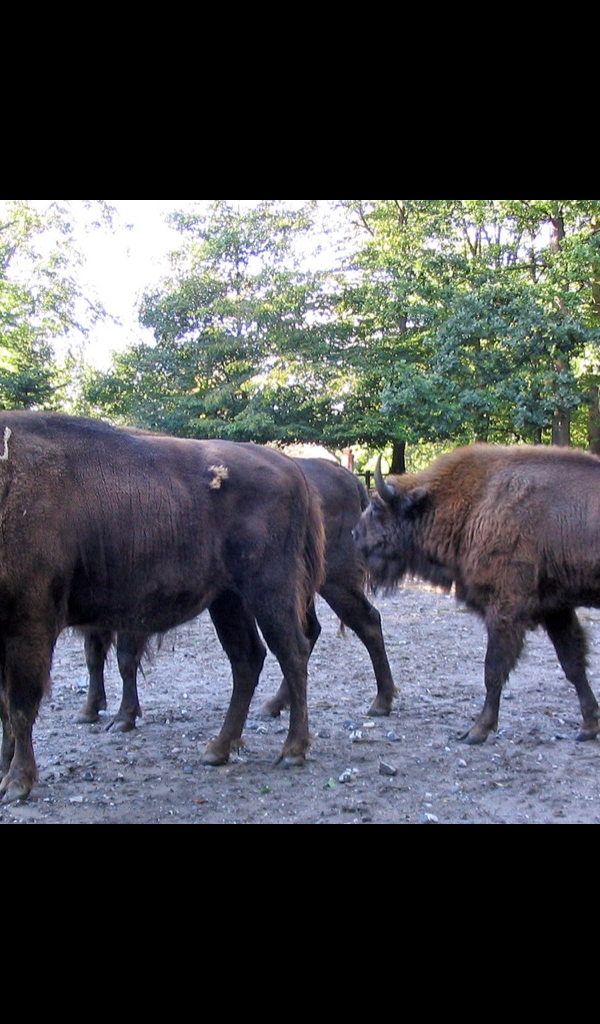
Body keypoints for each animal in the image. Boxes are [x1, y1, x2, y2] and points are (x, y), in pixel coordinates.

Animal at [0, 412, 325, 802]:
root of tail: (292, 469)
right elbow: (4, 710)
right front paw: (4, 773)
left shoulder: (29, 625)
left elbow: (20, 706)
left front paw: (17, 783)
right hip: (228, 601)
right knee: (247, 659)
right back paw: (218, 749)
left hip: (269, 591)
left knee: (292, 654)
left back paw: (292, 750)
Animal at [79, 456, 396, 732]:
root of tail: (346, 476)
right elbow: (94, 654)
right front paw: (90, 709)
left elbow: (125, 657)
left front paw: (123, 718)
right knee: (310, 631)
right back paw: (274, 705)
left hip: (335, 580)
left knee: (367, 622)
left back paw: (381, 702)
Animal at [353, 443, 600, 744]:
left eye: (377, 507)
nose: (354, 534)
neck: (473, 503)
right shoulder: (556, 609)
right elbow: (572, 663)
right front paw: (589, 726)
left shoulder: (505, 609)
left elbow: (493, 670)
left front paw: (477, 730)